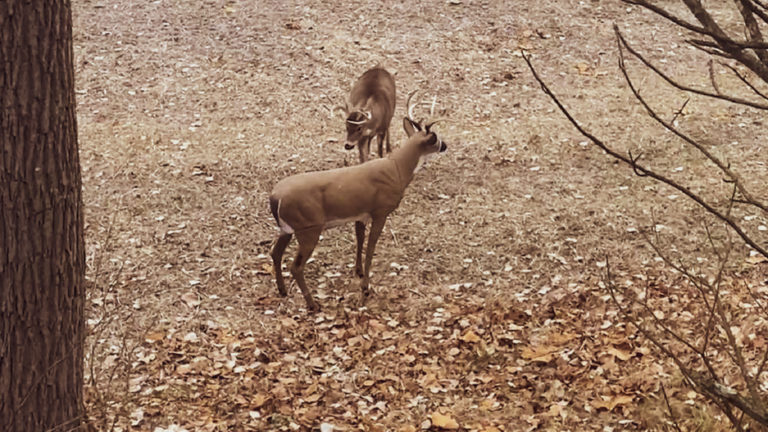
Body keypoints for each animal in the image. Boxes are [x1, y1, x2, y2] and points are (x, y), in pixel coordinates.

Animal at [269, 92, 447, 311]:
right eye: (436, 138)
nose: (445, 145)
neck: (398, 169)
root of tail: (274, 197)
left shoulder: (361, 213)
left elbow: (360, 240)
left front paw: (359, 271)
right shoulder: (381, 210)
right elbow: (371, 248)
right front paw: (365, 287)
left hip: (286, 229)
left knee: (275, 253)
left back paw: (283, 290)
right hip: (308, 227)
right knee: (295, 266)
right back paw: (312, 304)